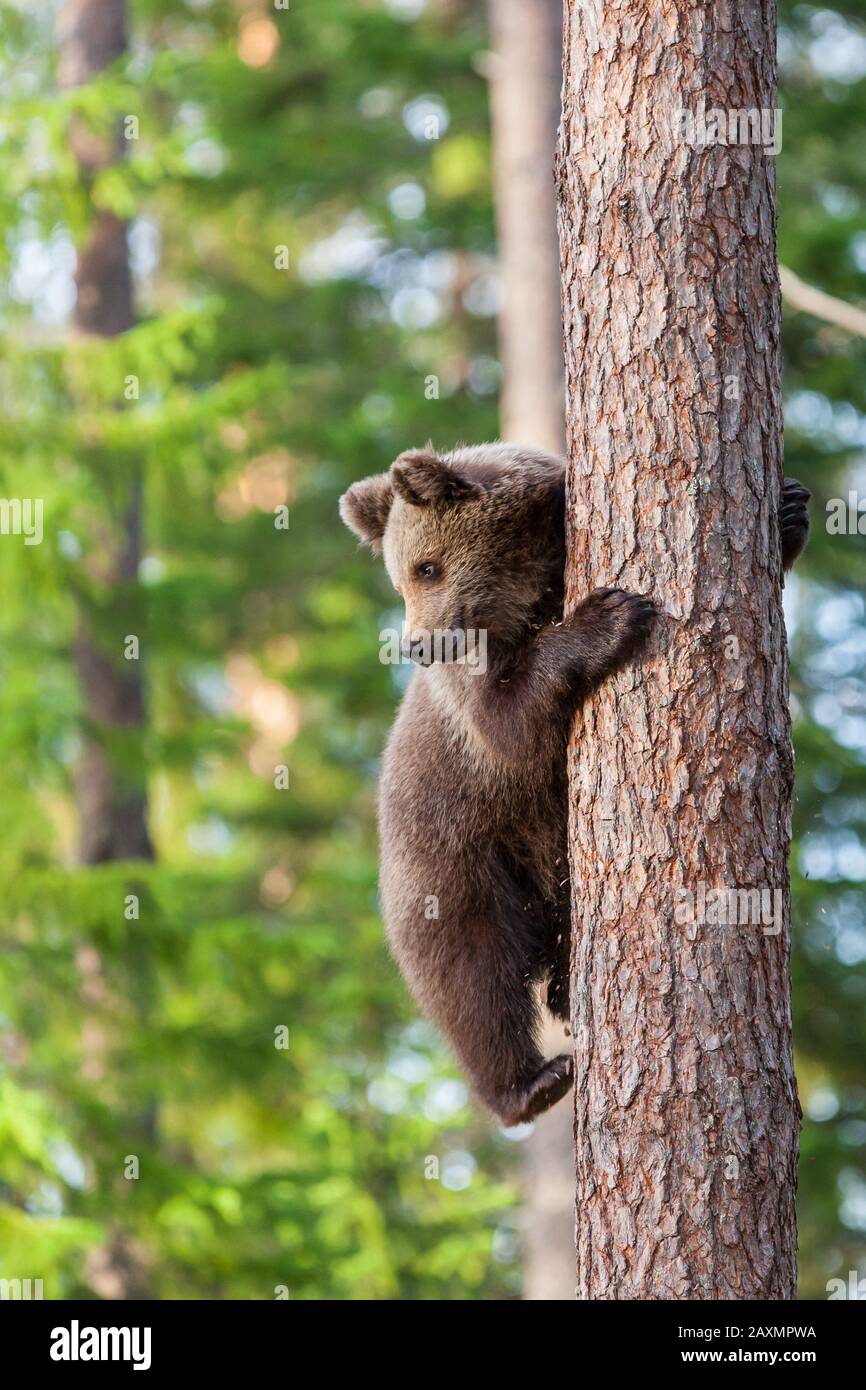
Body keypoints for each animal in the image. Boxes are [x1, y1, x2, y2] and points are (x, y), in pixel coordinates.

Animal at [340, 444, 810, 1127]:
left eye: (426, 567)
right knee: (469, 972)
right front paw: (610, 617)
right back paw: (530, 1084)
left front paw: (790, 508)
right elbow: (511, 725)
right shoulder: (477, 708)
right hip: (452, 855)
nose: (419, 646)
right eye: (403, 578)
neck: (530, 589)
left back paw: (564, 995)